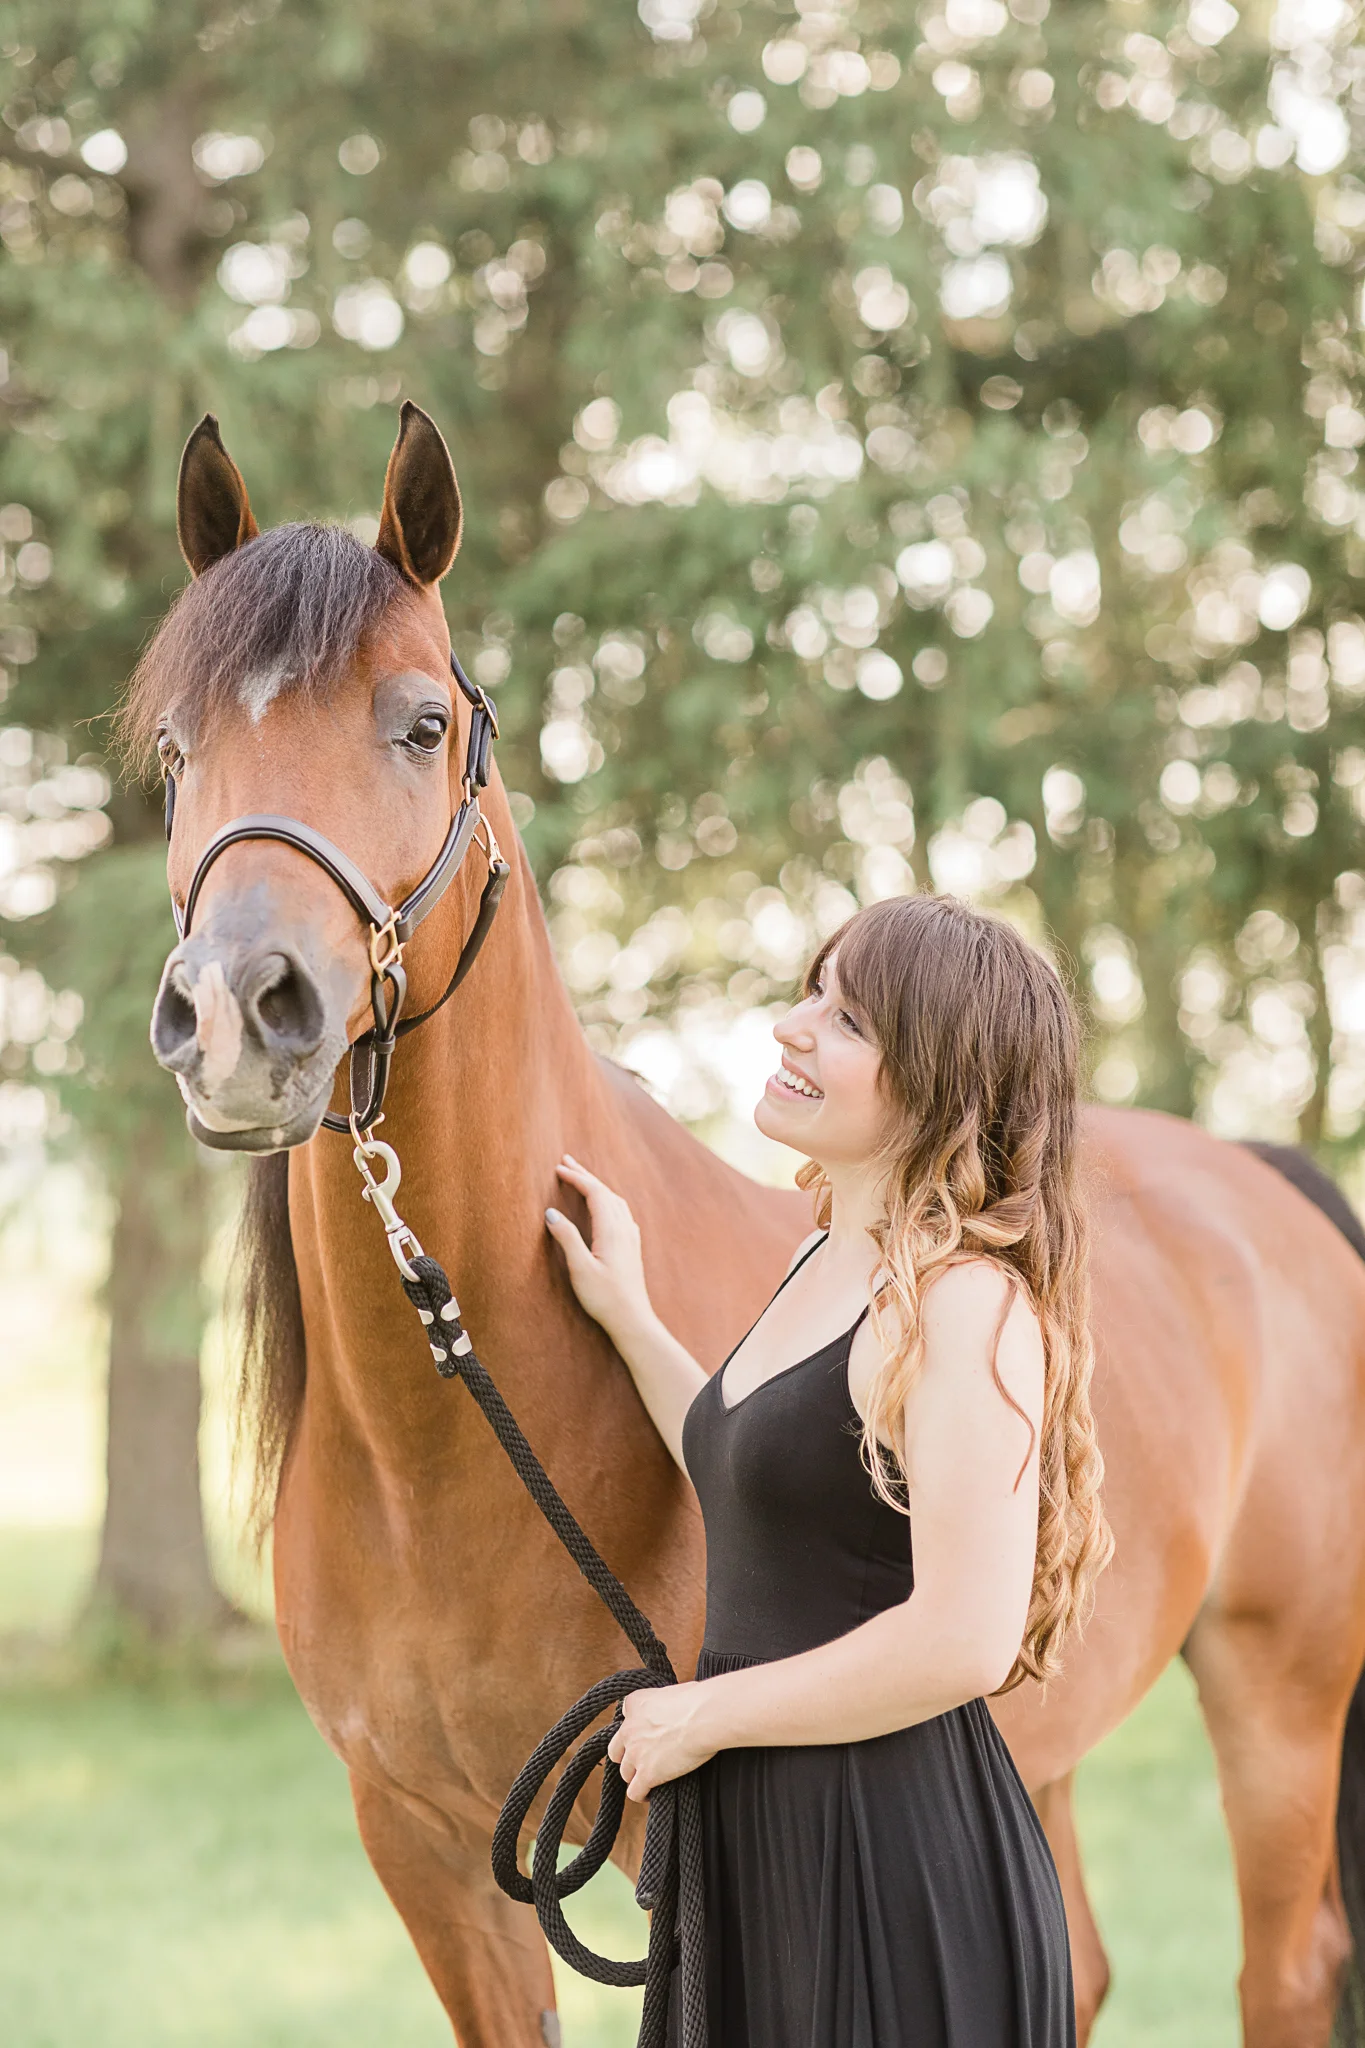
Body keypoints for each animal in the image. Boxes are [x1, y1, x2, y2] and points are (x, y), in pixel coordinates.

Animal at [129, 402, 1365, 2047]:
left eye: (422, 725)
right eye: (175, 748)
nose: (235, 1013)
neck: (459, 1441)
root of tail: (1261, 1183)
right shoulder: (436, 1859)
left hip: (1278, 1696)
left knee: (1282, 1967)